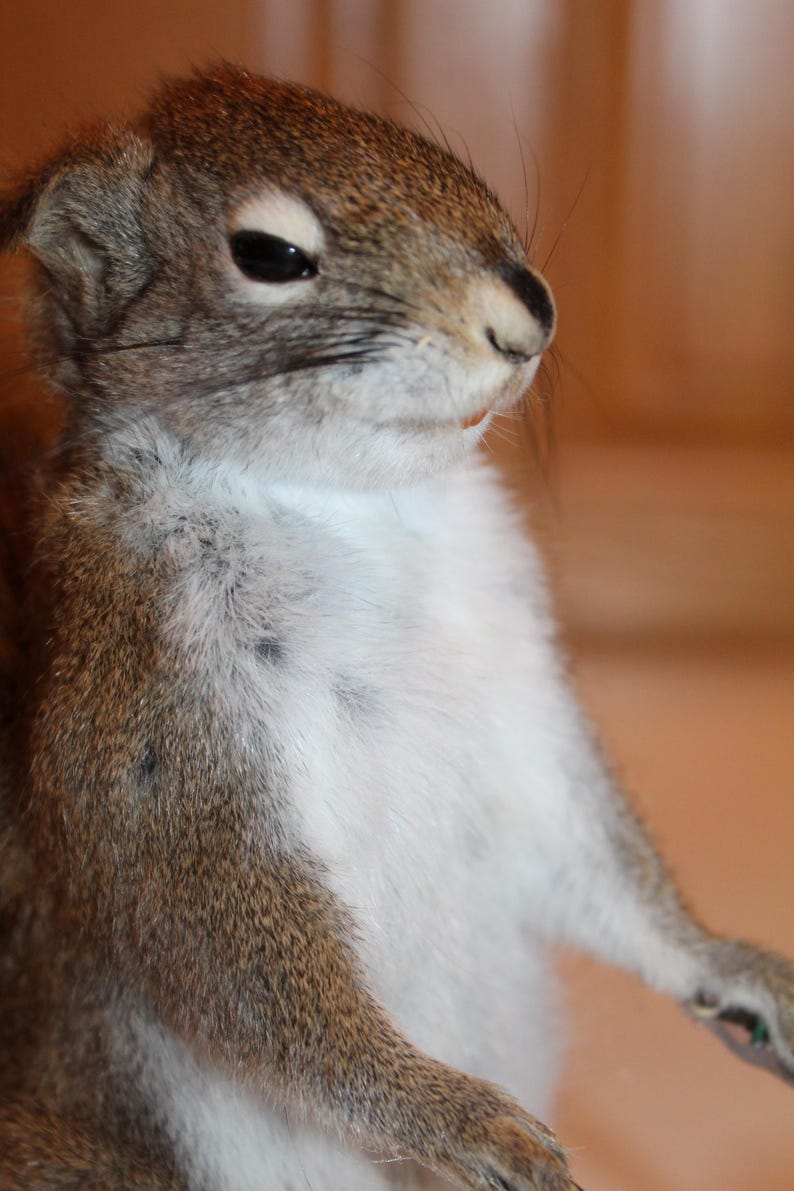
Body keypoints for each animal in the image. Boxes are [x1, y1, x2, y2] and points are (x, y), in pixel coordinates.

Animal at [0, 63, 791, 1191]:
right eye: (268, 255)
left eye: (429, 146)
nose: (528, 312)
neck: (360, 511)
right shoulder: (145, 713)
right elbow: (229, 950)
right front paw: (458, 1117)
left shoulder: (515, 700)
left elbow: (591, 860)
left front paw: (726, 965)